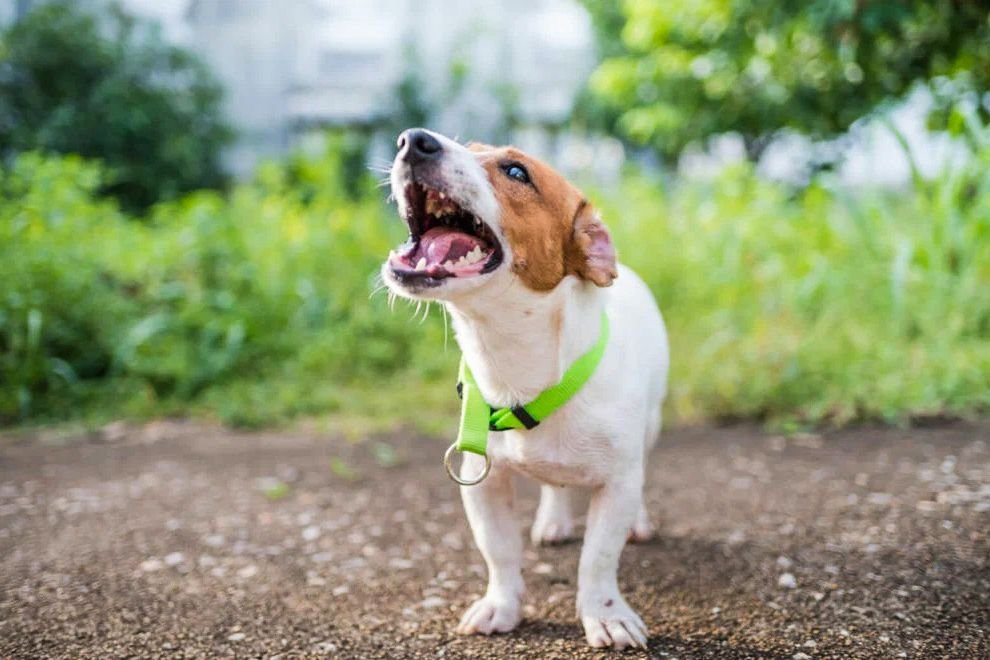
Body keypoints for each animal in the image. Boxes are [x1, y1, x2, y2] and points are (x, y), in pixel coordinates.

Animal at [384, 129, 672, 648]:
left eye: (517, 172)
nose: (412, 140)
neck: (520, 370)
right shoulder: (482, 481)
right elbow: (499, 551)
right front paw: (501, 606)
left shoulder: (617, 483)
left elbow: (598, 559)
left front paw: (606, 615)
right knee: (554, 487)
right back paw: (554, 520)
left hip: (651, 424)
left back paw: (638, 522)